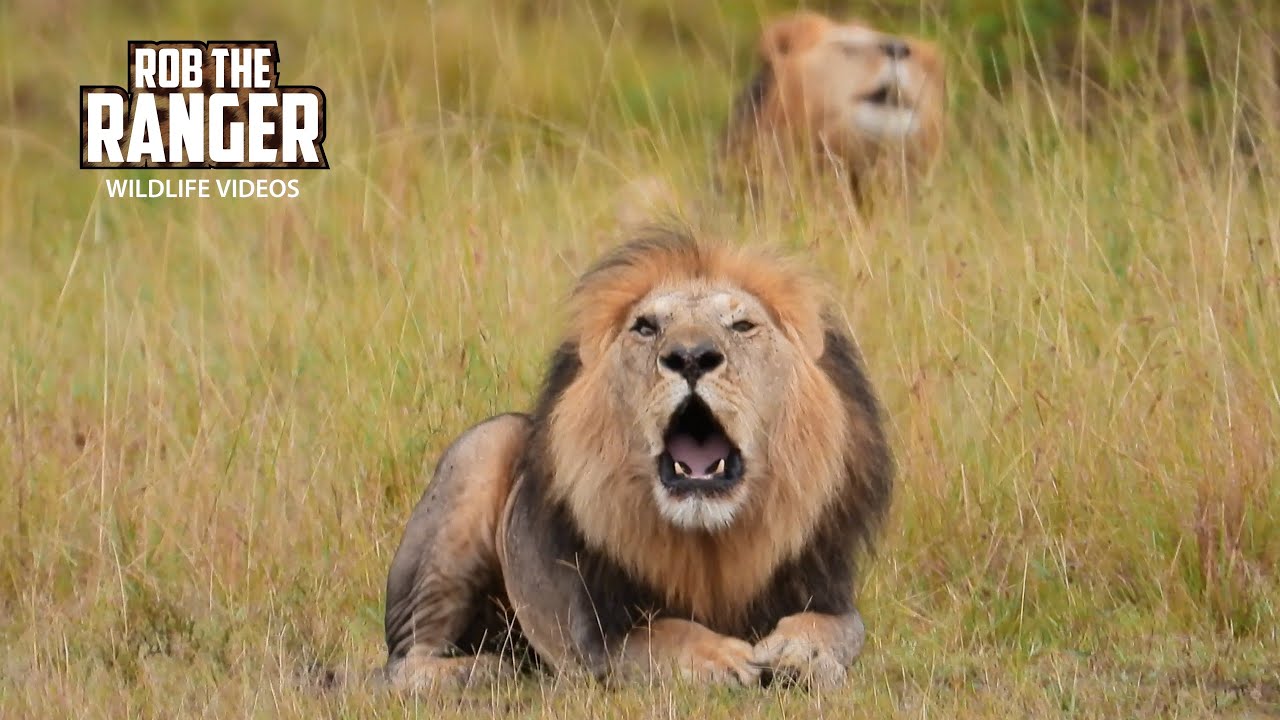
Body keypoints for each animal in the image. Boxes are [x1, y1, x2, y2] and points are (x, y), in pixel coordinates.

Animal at [382, 228, 893, 691]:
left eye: (742, 325)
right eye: (646, 327)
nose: (691, 357)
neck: (712, 538)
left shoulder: (826, 587)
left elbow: (841, 627)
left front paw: (800, 652)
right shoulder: (595, 635)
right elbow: (662, 634)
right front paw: (720, 658)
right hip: (482, 454)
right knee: (399, 664)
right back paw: (479, 670)